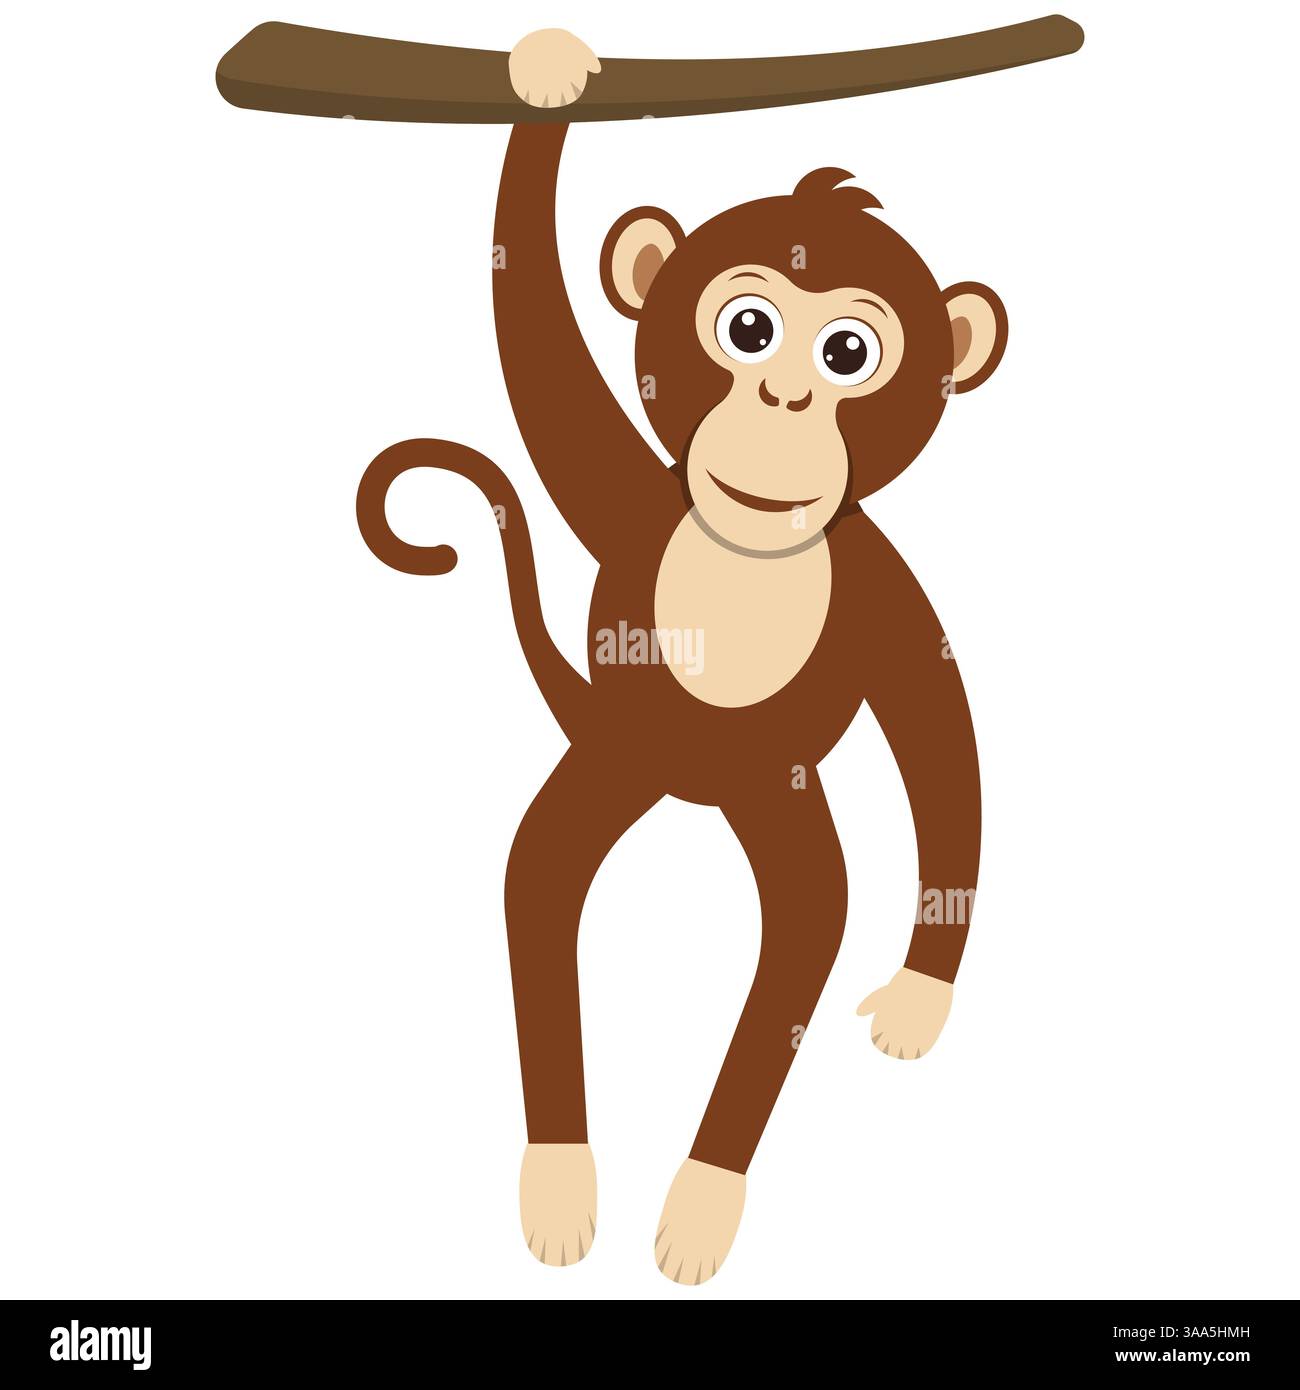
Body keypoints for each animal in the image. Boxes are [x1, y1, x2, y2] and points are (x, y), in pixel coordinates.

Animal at [356, 29, 1008, 1284]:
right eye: (746, 328)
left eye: (849, 350)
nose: (788, 393)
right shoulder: (619, 486)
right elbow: (533, 326)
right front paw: (550, 72)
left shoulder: (886, 596)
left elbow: (938, 744)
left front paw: (917, 995)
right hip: (622, 751)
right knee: (542, 877)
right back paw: (560, 1167)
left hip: (764, 789)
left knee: (806, 916)